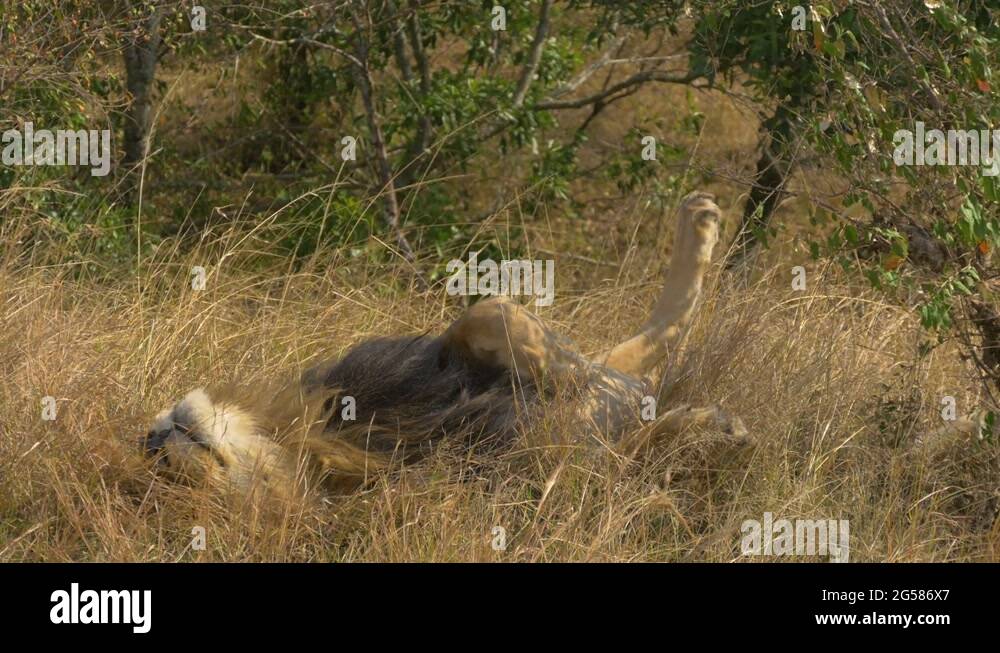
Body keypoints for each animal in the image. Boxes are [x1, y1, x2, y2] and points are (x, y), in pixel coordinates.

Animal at [143, 191, 747, 499]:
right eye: (172, 485)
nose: (152, 444)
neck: (317, 437)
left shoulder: (424, 363)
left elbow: (485, 313)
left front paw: (567, 372)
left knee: (648, 340)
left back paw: (699, 217)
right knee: (653, 370)